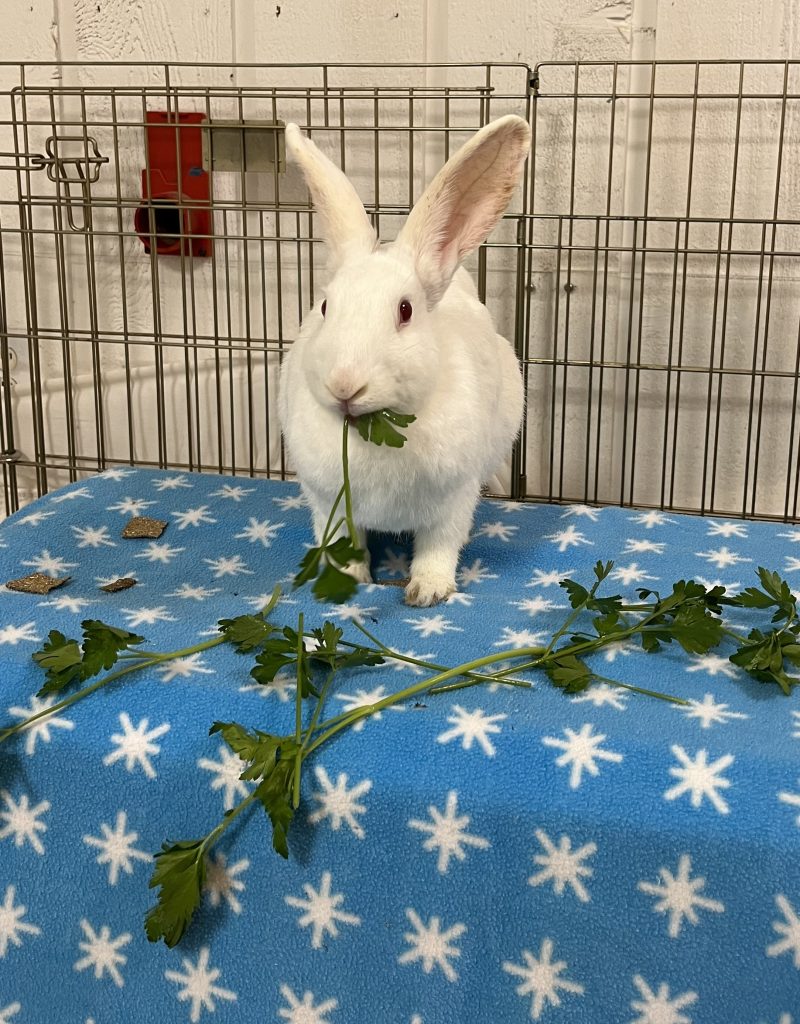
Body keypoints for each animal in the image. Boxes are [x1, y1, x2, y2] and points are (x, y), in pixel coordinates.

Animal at [278, 115, 530, 607]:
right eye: (324, 307)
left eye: (406, 310)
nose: (345, 385)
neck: (372, 428)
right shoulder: (327, 502)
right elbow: (343, 542)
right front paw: (351, 579)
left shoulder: (453, 501)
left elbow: (439, 547)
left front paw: (428, 592)